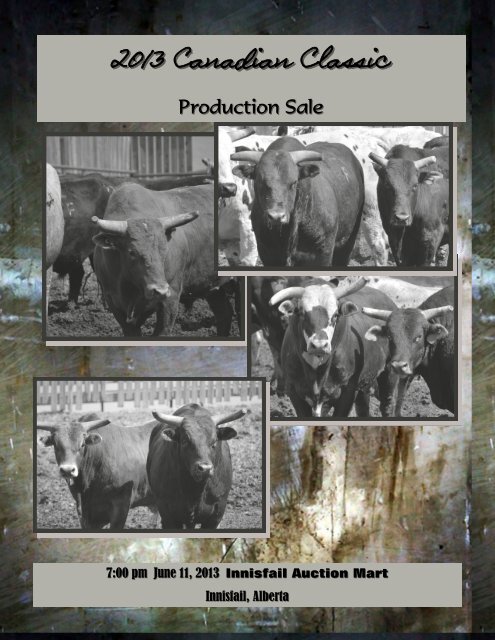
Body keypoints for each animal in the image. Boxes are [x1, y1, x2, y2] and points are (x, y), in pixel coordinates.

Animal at [92, 182, 236, 337]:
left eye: (164, 249)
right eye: (131, 252)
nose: (159, 290)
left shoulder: (170, 298)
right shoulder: (114, 303)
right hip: (212, 286)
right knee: (224, 314)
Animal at [232, 137, 365, 267]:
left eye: (294, 182)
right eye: (260, 181)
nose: (276, 216)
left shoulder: (323, 254)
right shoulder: (267, 254)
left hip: (349, 242)